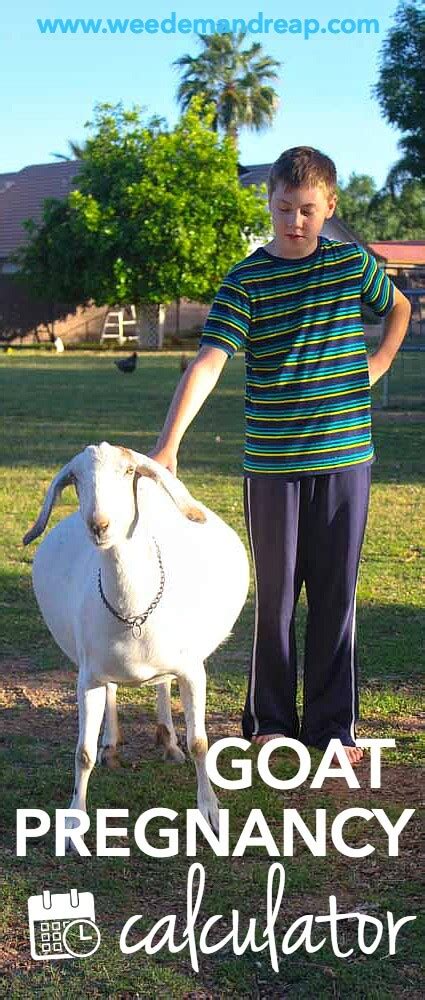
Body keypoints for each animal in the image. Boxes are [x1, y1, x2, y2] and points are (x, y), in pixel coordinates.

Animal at [23, 443, 249, 848]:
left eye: (128, 471)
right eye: (74, 478)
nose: (99, 525)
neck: (133, 613)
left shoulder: (193, 671)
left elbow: (200, 742)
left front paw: (210, 813)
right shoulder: (88, 676)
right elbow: (82, 753)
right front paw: (73, 823)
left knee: (162, 685)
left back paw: (168, 741)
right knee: (115, 692)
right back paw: (111, 744)